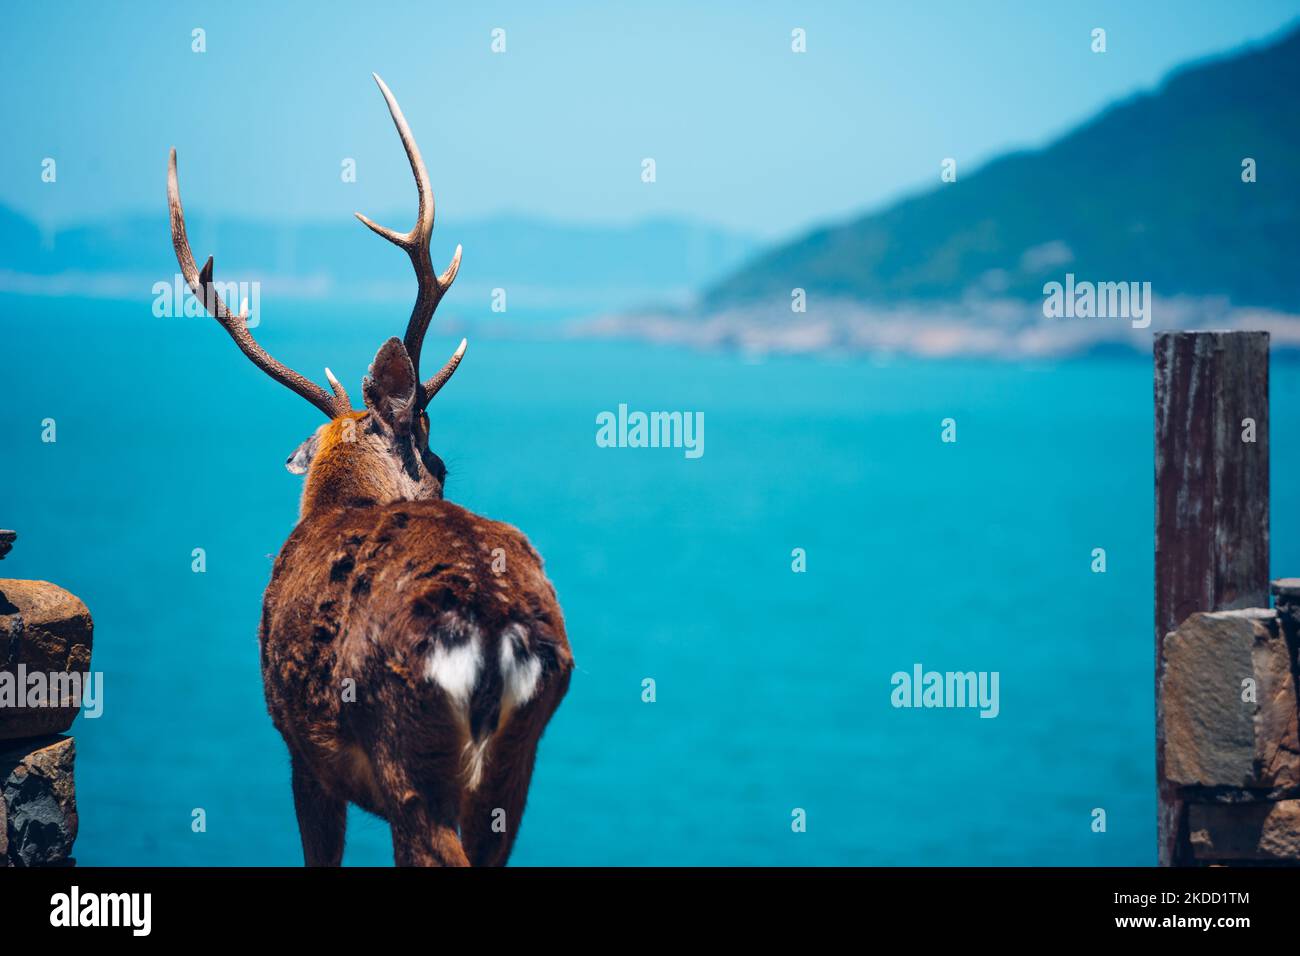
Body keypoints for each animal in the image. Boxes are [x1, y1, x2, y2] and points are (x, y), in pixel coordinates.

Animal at [165, 74, 573, 867]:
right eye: (438, 456)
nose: (440, 478)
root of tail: (495, 626)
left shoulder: (301, 754)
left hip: (407, 754)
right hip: (516, 767)